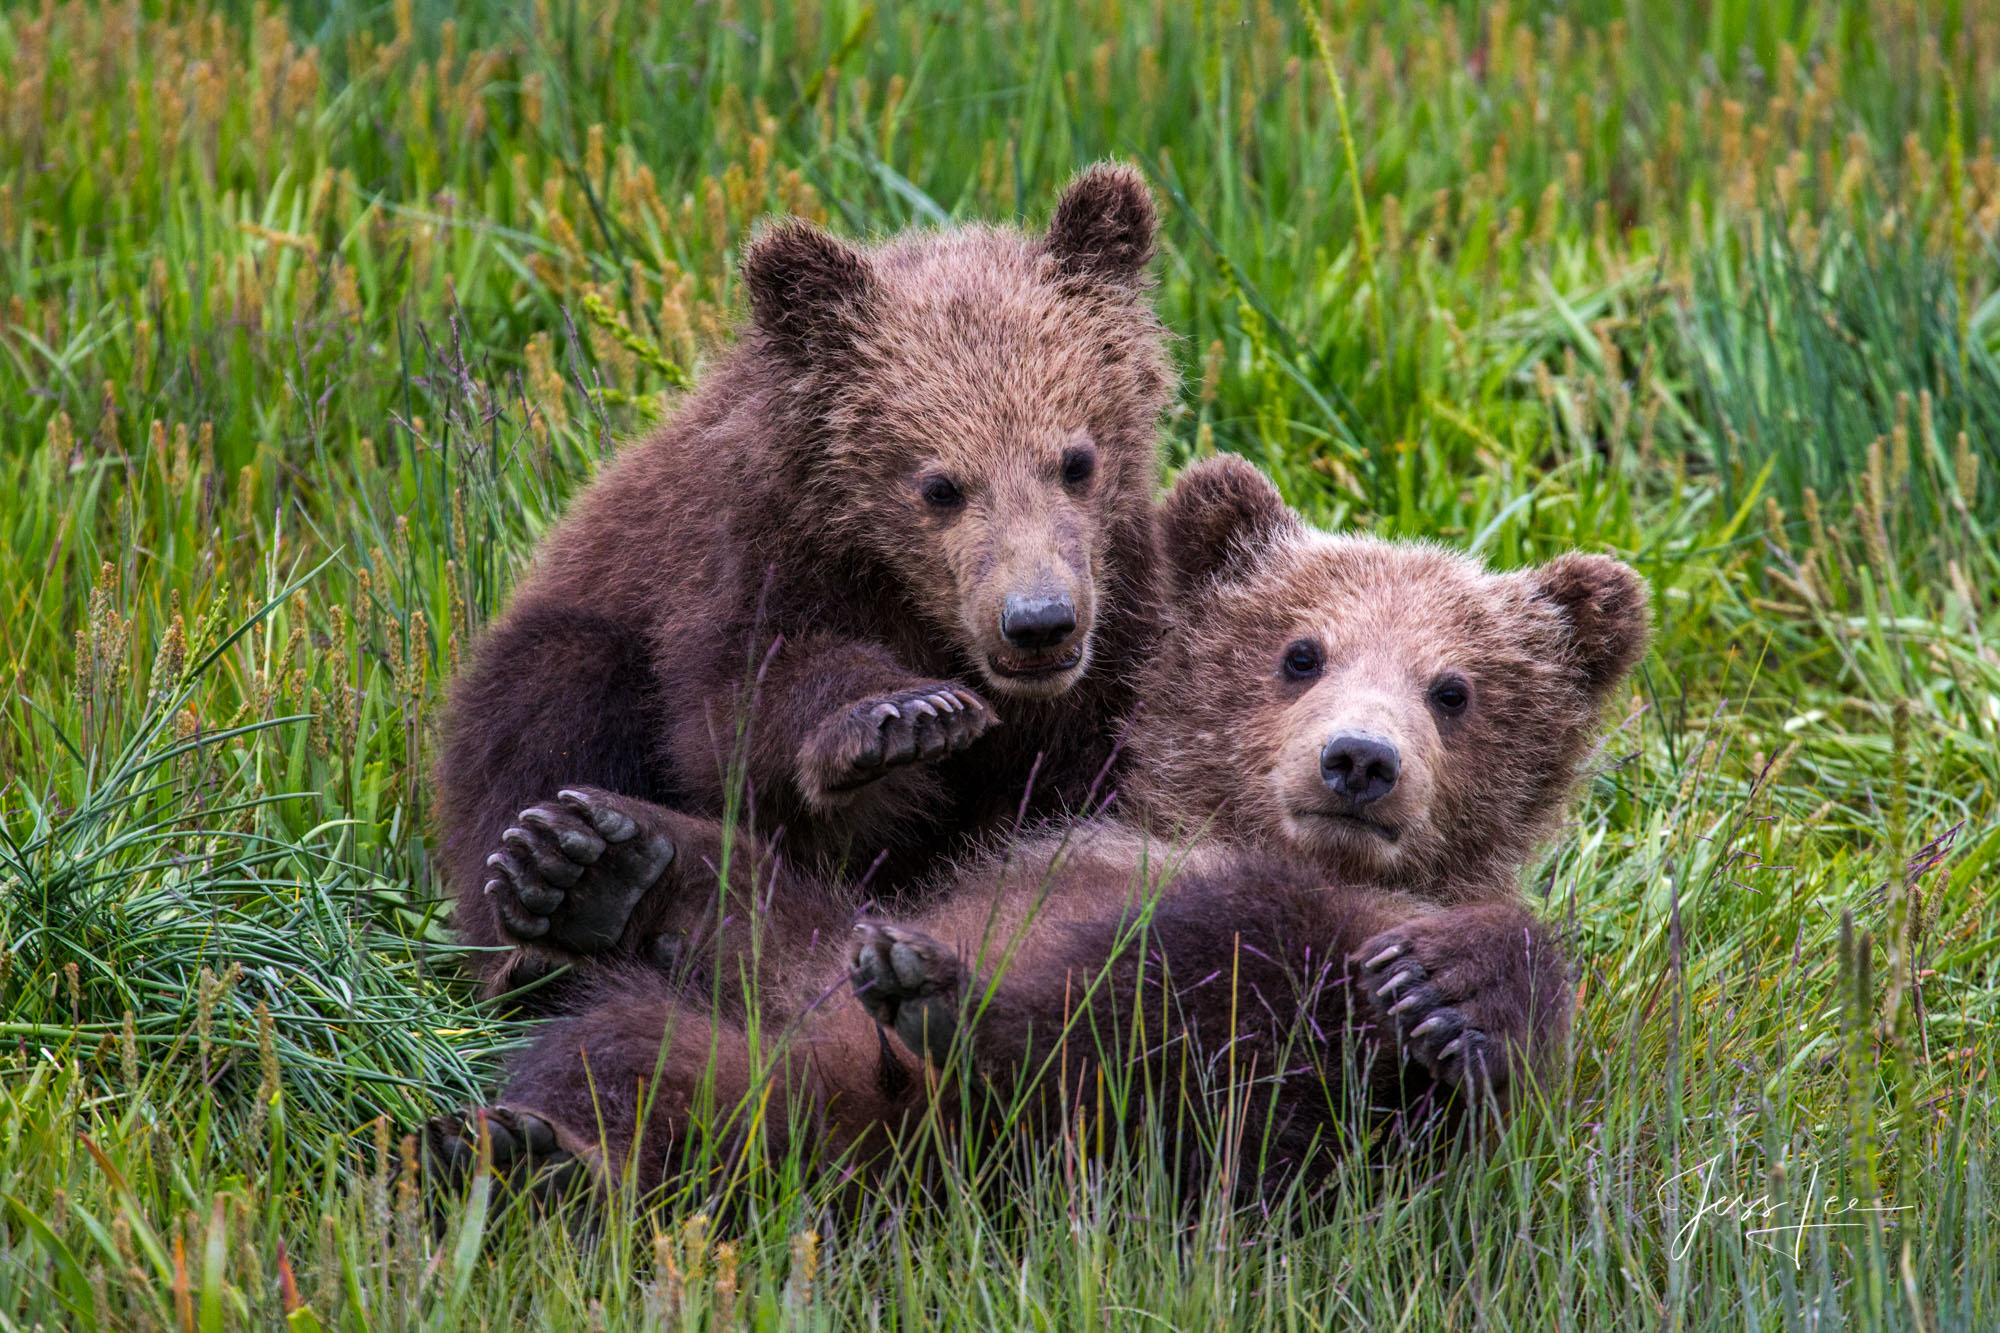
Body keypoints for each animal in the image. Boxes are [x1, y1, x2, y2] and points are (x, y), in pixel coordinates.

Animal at [421, 456, 1651, 1203]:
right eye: (1300, 651)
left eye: (1454, 689)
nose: (1358, 759)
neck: (1221, 830)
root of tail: (889, 1142)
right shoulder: (1039, 840)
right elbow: (804, 909)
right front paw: (599, 858)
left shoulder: (1368, 1017)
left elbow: (1469, 1055)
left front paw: (1450, 982)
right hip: (770, 1069)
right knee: (633, 1055)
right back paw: (542, 1108)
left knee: (1166, 998)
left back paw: (955, 1013)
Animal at [436, 164, 1175, 998]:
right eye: (940, 485)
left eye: (1077, 460)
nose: (1038, 620)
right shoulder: (746, 561)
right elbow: (746, 710)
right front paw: (904, 716)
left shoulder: (1115, 633)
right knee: (545, 696)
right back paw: (554, 909)